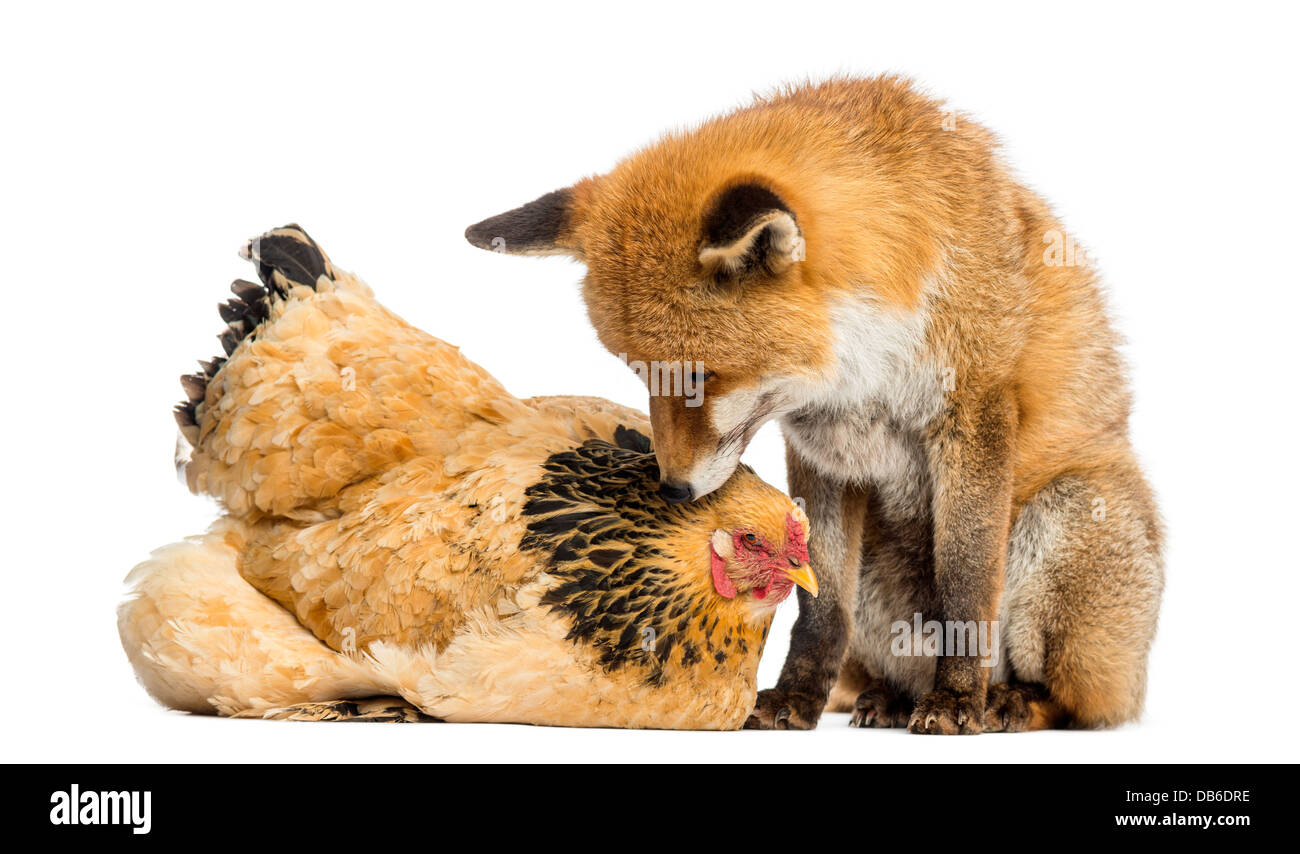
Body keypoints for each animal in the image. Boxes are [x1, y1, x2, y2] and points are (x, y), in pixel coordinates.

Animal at [465, 76, 1164, 733]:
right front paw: (796, 697)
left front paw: (958, 700)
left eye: (699, 377)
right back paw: (890, 698)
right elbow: (820, 607)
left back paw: (1006, 701)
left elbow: (967, 587)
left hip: (1070, 513)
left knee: (1076, 702)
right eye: (638, 372)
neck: (862, 366)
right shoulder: (821, 447)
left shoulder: (975, 416)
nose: (673, 490)